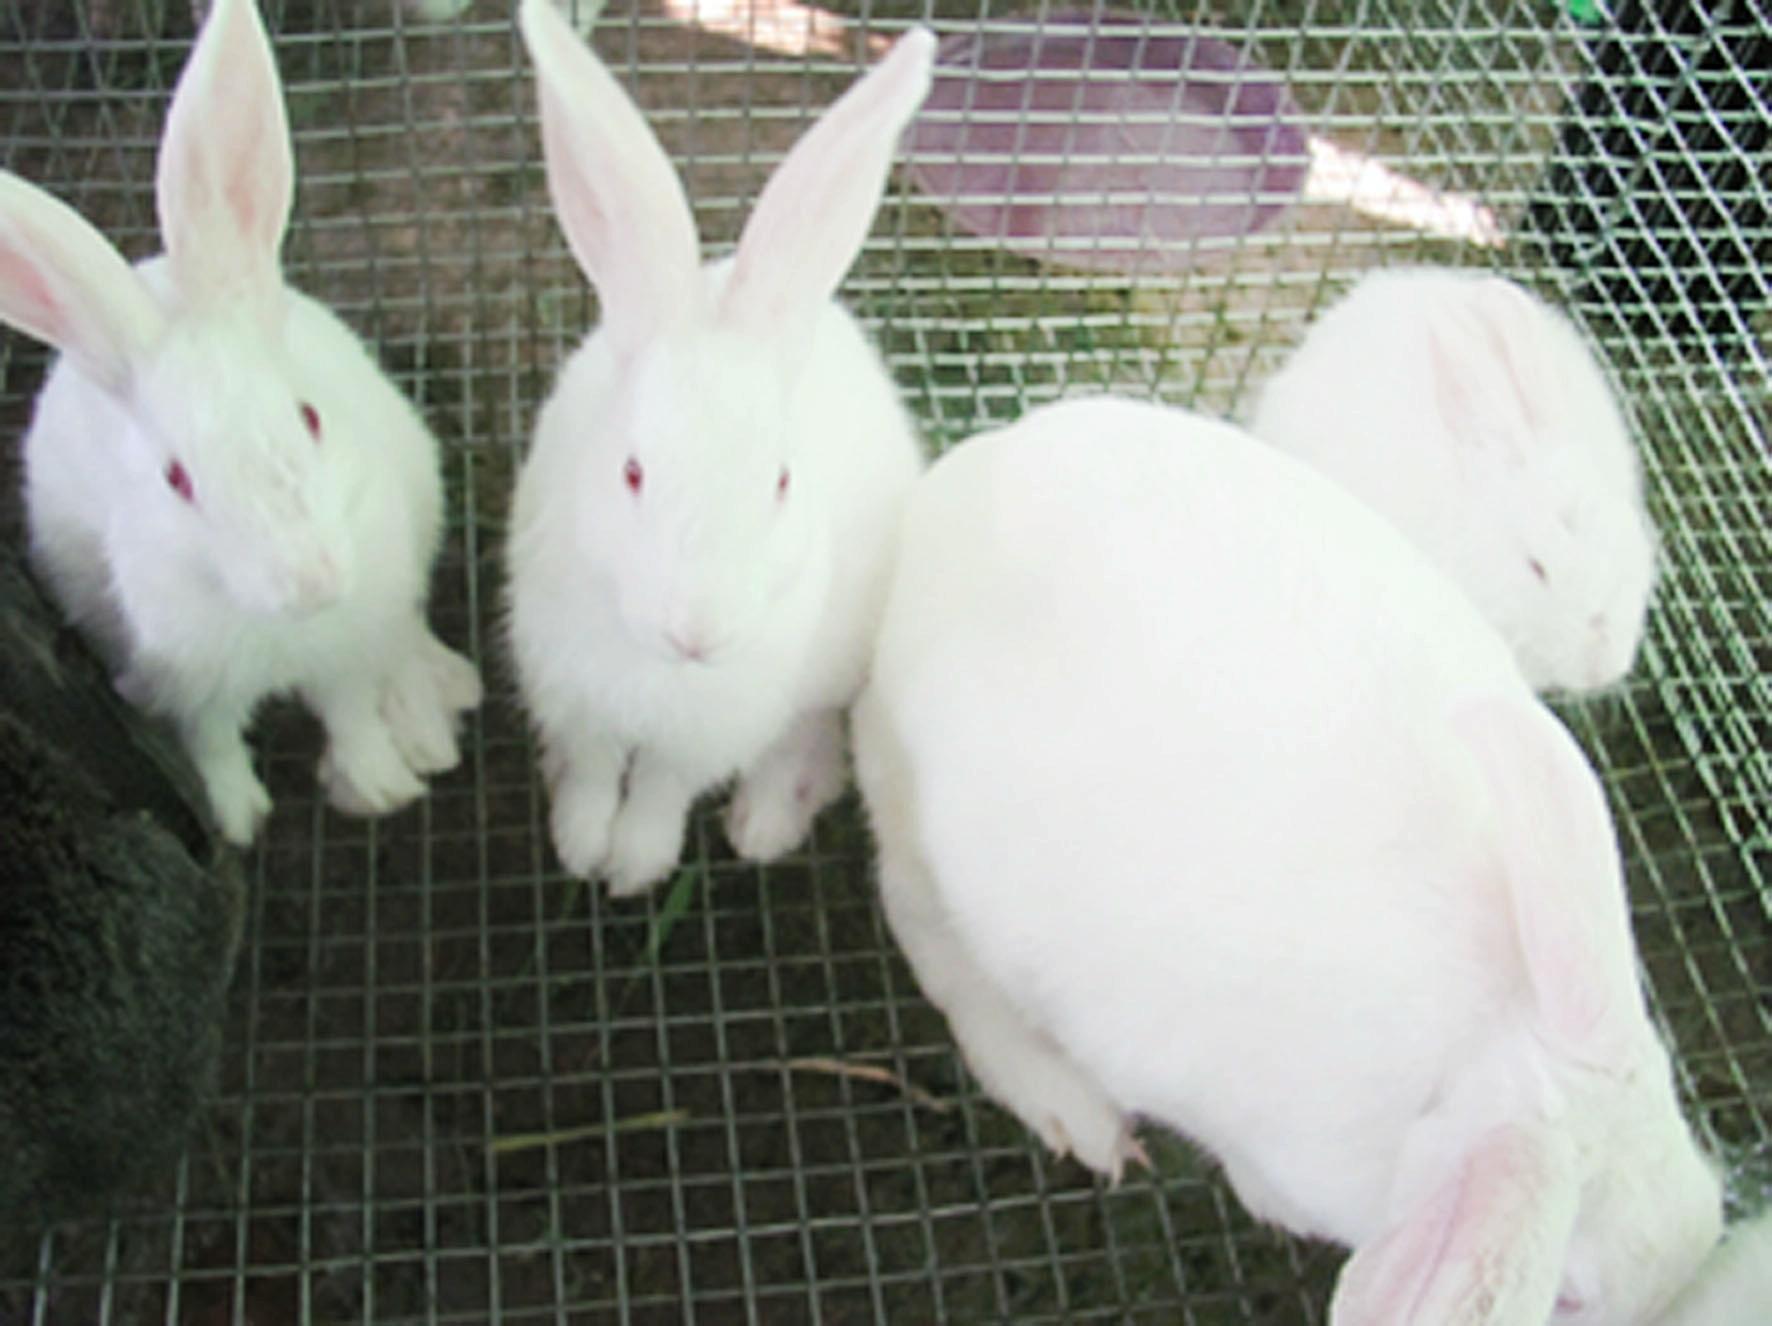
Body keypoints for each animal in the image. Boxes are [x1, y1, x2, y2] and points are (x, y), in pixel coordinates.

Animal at [0, 0, 482, 846]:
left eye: (310, 416)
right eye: (176, 478)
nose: (311, 584)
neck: (284, 633)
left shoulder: (348, 644)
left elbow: (353, 713)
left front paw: (379, 788)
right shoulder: (190, 675)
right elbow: (214, 742)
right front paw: (237, 821)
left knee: (406, 641)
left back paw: (433, 710)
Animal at [506, 0, 932, 895]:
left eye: (780, 481)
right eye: (632, 472)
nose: (696, 634)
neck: (657, 669)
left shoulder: (711, 731)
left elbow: (661, 790)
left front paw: (634, 865)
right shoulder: (573, 694)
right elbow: (594, 771)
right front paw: (579, 844)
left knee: (805, 734)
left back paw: (766, 821)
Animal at [852, 396, 1721, 1325]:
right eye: (1568, 1296)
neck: (1471, 1056)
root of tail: (932, 508)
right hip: (923, 839)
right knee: (941, 956)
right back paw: (1076, 1114)